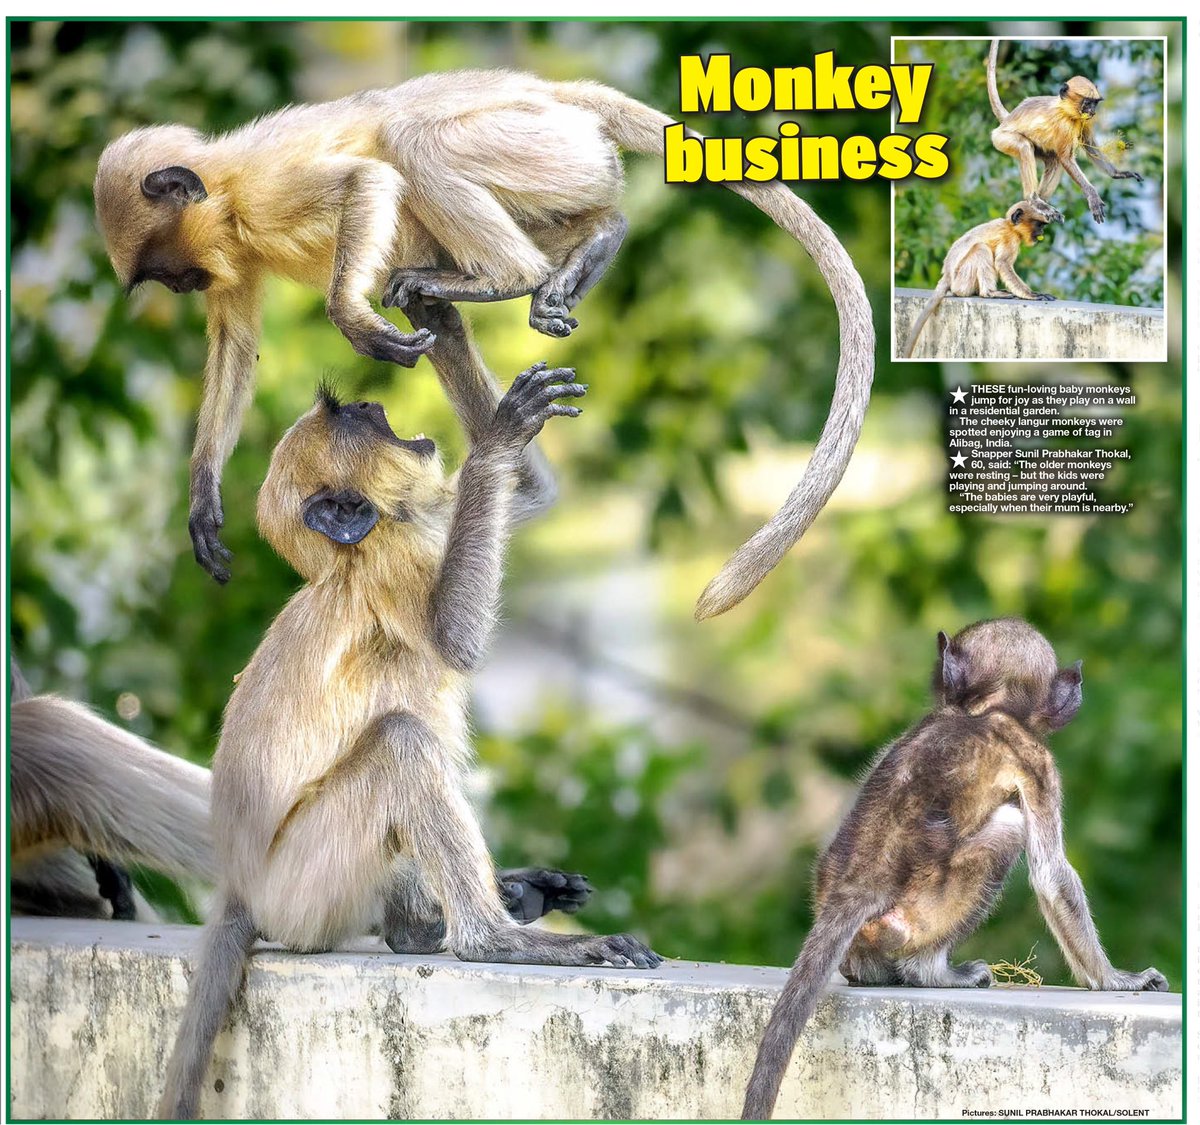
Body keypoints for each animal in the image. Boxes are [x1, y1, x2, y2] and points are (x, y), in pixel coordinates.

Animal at [93, 70, 875, 618]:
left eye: (172, 273)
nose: (181, 287)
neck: (225, 190)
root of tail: (550, 92)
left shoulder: (261, 192)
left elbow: (366, 177)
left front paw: (352, 317)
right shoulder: (235, 245)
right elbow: (236, 341)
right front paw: (202, 497)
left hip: (538, 143)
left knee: (411, 139)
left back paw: (511, 274)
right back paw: (586, 245)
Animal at [157, 340, 662, 1118]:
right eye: (354, 418)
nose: (376, 404)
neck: (353, 556)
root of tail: (242, 884)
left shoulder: (423, 529)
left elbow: (524, 494)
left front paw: (438, 321)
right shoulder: (393, 566)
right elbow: (453, 641)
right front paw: (500, 434)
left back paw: (451, 915)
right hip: (303, 887)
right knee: (401, 741)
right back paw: (492, 939)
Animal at [740, 618, 1168, 1121]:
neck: (986, 710)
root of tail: (853, 893)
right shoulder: (1037, 760)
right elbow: (1051, 875)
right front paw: (1115, 979)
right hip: (913, 921)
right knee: (1010, 827)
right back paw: (929, 971)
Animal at [902, 198, 1058, 359]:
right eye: (1039, 225)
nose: (1042, 232)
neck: (1009, 226)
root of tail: (947, 276)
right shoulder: (1010, 238)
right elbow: (1002, 263)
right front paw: (1032, 295)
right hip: (962, 280)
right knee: (981, 248)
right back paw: (989, 292)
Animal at [988, 40, 1143, 225]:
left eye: (1095, 103)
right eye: (1087, 103)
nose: (1092, 112)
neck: (1065, 110)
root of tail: (1007, 120)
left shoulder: (1083, 120)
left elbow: (1088, 145)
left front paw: (1117, 173)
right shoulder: (1064, 124)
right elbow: (1066, 158)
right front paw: (1092, 196)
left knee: (1054, 160)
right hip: (1001, 139)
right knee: (1025, 147)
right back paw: (1034, 201)